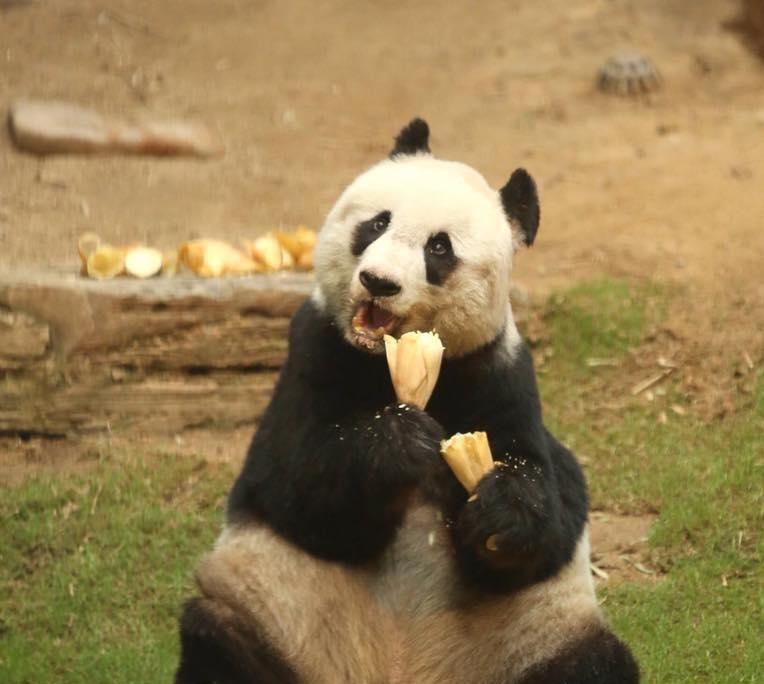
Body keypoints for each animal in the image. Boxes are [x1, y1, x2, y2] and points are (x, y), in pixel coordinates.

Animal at [174, 119, 640, 684]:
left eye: (439, 248)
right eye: (376, 223)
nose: (379, 282)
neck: (386, 360)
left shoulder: (499, 375)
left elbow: (545, 508)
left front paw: (498, 508)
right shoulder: (314, 351)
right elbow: (291, 485)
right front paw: (399, 443)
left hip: (532, 643)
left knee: (592, 661)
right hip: (274, 619)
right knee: (219, 639)